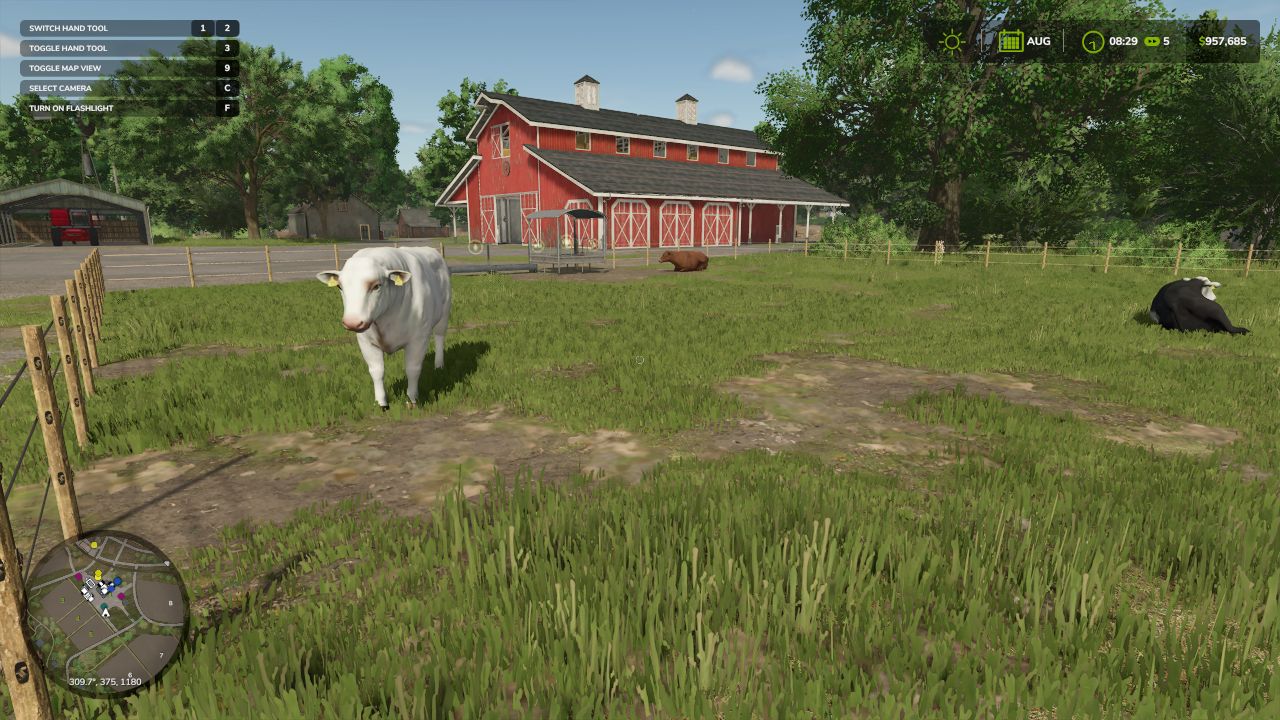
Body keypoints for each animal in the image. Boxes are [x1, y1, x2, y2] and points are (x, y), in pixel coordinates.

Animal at [317, 247, 452, 409]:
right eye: (339, 286)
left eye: (376, 286)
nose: (352, 322)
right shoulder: (366, 342)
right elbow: (377, 371)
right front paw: (382, 403)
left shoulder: (419, 338)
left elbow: (413, 369)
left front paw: (412, 400)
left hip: (444, 313)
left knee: (439, 337)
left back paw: (439, 364)